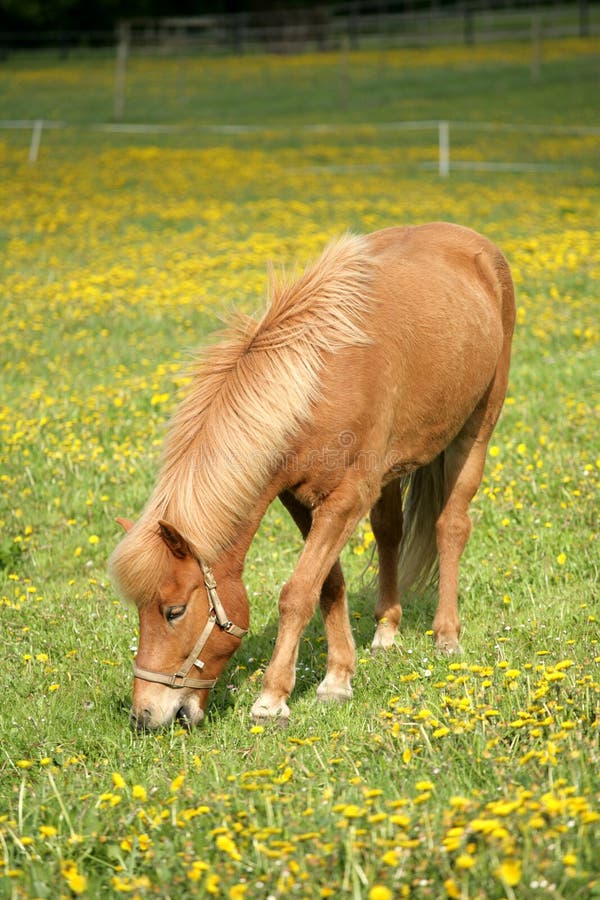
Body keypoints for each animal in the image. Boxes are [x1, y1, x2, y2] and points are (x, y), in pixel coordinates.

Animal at [109, 223, 515, 730]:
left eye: (174, 611)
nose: (145, 714)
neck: (315, 383)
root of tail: (476, 244)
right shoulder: (303, 501)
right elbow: (329, 584)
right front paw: (338, 678)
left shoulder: (343, 501)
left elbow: (298, 592)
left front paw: (271, 699)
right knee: (390, 532)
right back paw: (386, 631)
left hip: (477, 429)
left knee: (451, 527)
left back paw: (446, 636)